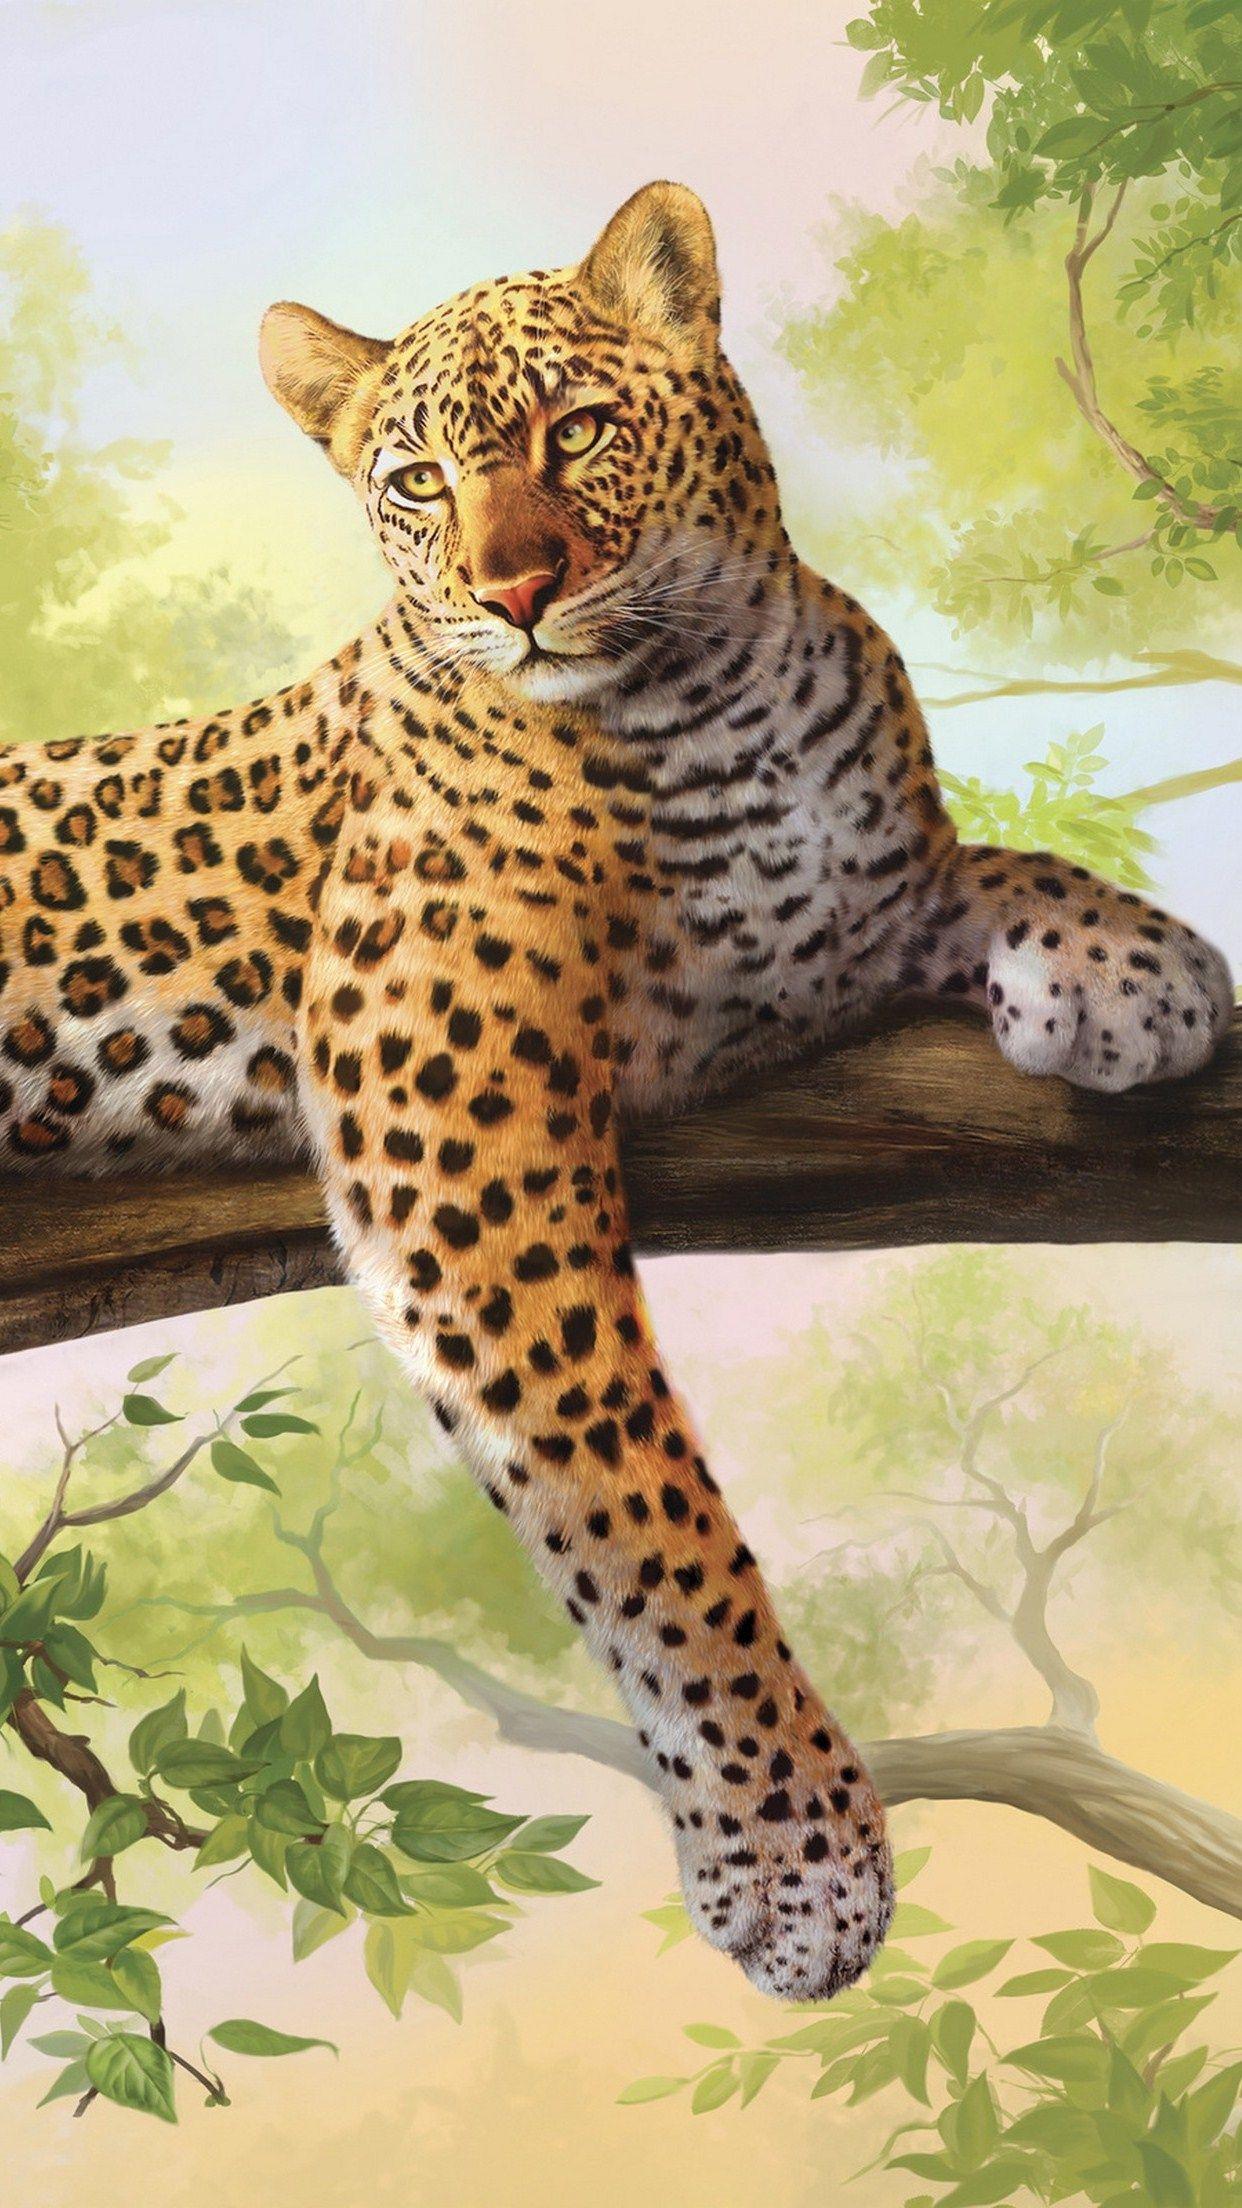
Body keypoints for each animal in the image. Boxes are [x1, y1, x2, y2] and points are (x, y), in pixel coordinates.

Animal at [0, 183, 1231, 2002]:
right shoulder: (446, 1112)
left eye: (573, 432)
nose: (515, 588)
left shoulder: (822, 931)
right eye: (416, 483)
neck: (723, 697)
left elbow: (961, 864)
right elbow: (633, 1498)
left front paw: (1134, 961)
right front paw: (792, 1853)